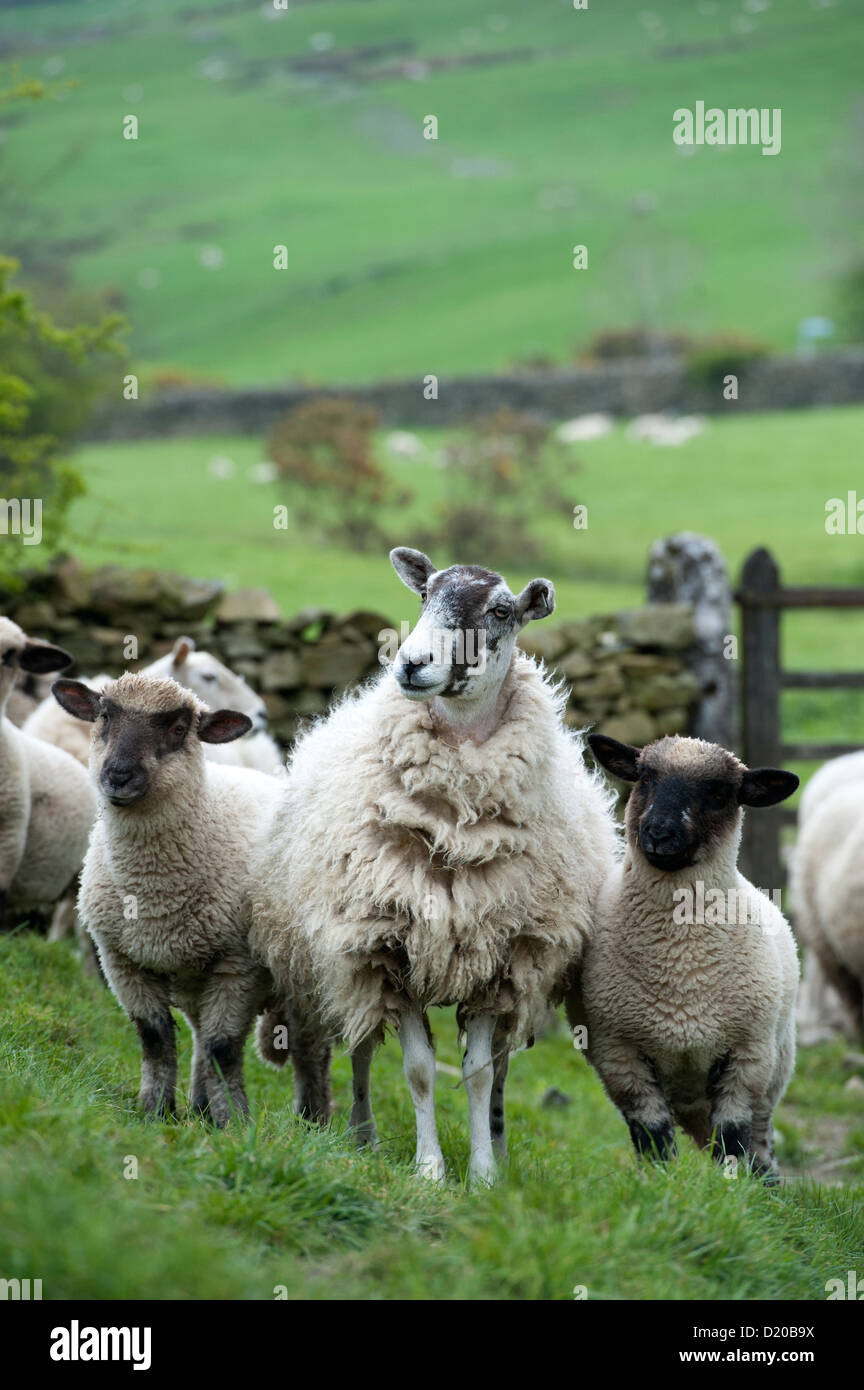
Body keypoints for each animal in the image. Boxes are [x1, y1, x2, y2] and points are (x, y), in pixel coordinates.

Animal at [51, 671, 305, 1126]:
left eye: (179, 727)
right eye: (104, 714)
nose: (117, 775)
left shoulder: (237, 966)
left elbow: (224, 1048)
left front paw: (234, 1123)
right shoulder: (121, 961)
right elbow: (155, 1038)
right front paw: (155, 1112)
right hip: (193, 977)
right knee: (200, 1035)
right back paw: (200, 1107)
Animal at [251, 546, 618, 1184]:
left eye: (501, 611)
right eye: (425, 596)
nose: (411, 663)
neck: (458, 819)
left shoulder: (498, 962)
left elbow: (477, 1073)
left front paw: (484, 1174)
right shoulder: (388, 951)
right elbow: (420, 1070)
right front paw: (429, 1171)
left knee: (500, 1070)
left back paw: (497, 1143)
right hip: (348, 956)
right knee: (362, 1048)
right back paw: (363, 1135)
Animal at [575, 733, 799, 1182]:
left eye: (719, 793)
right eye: (645, 777)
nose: (659, 832)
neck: (682, 965)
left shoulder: (747, 1056)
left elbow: (732, 1136)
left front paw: (733, 1189)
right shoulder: (619, 1055)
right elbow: (653, 1136)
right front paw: (660, 1185)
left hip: (773, 1072)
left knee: (759, 1141)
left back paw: (767, 1186)